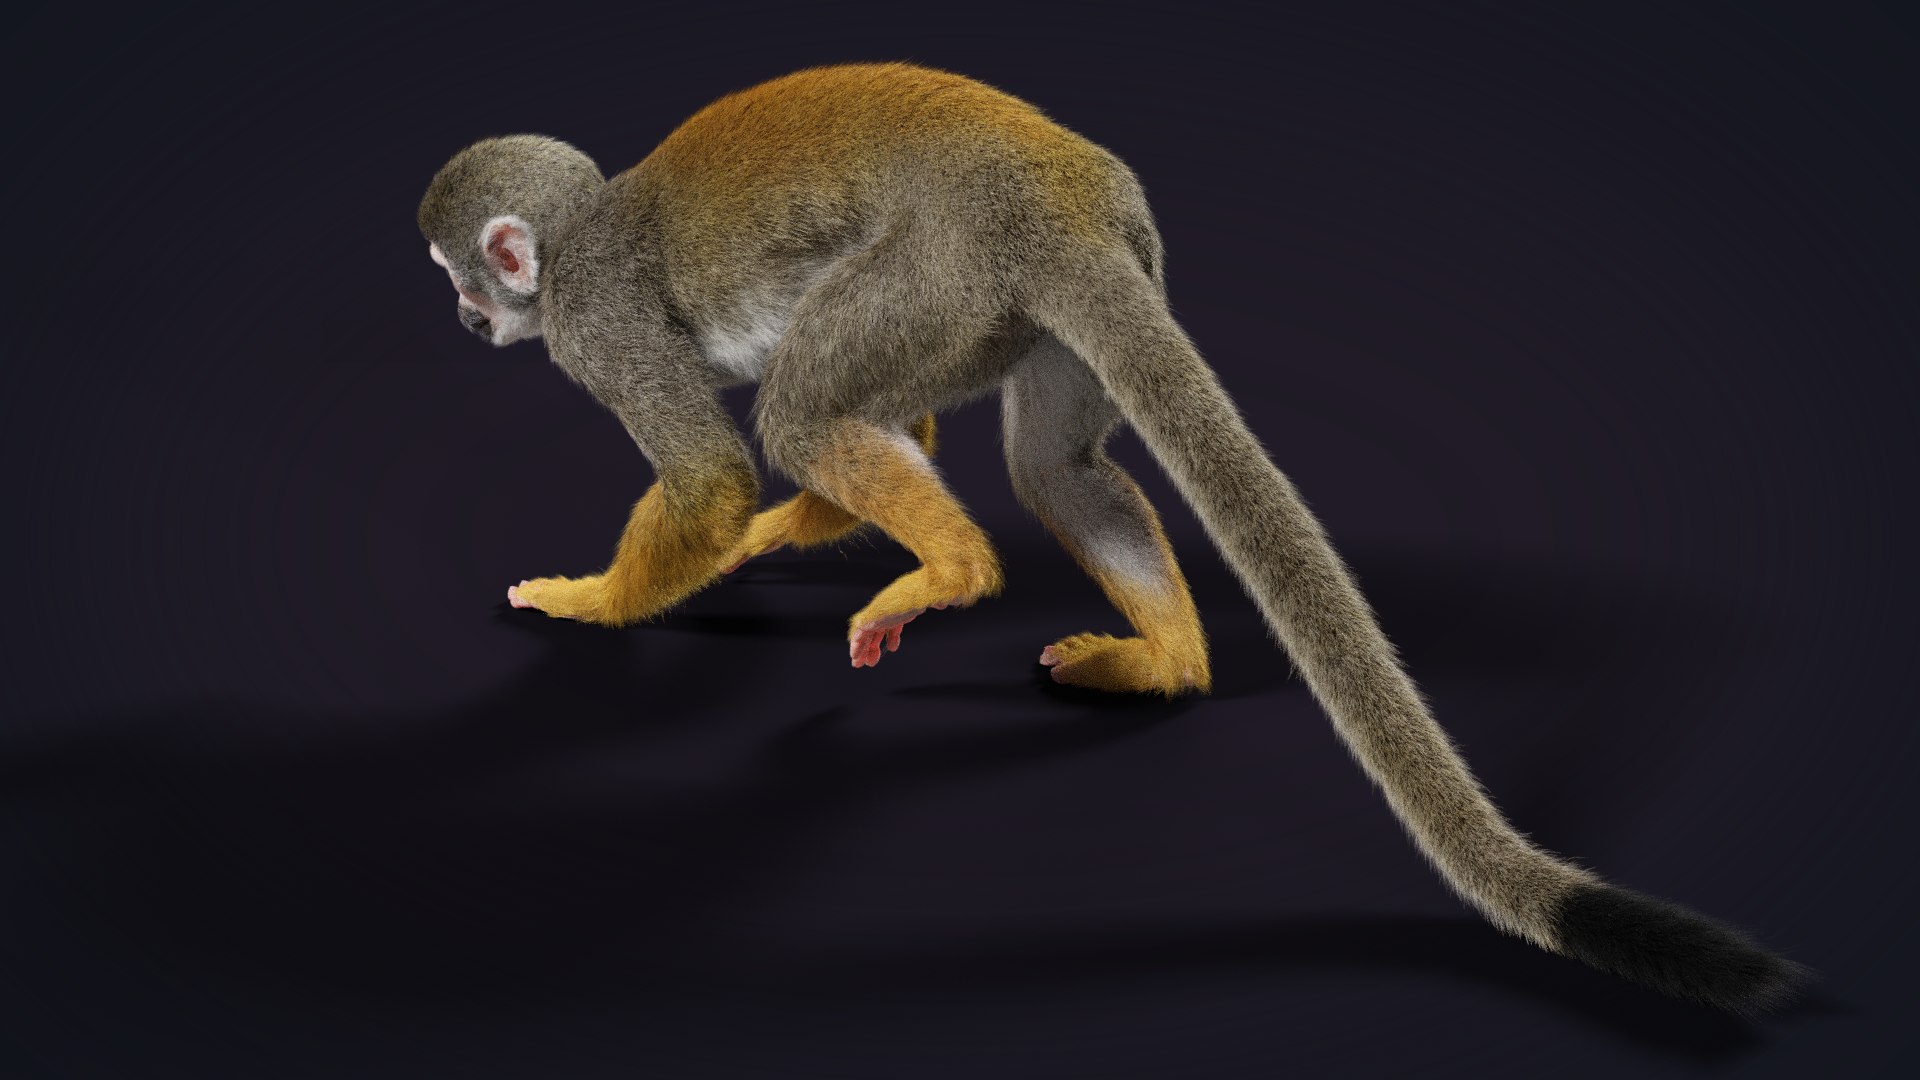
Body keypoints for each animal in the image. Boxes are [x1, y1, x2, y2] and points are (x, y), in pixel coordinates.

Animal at [417, 62, 1804, 1011]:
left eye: (456, 272)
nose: (466, 322)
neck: (577, 247)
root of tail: (1053, 204)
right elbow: (891, 429)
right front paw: (772, 537)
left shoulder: (595, 322)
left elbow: (708, 470)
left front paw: (599, 596)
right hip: (1049, 284)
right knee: (1053, 464)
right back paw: (1166, 659)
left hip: (946, 267)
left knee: (809, 408)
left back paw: (955, 571)